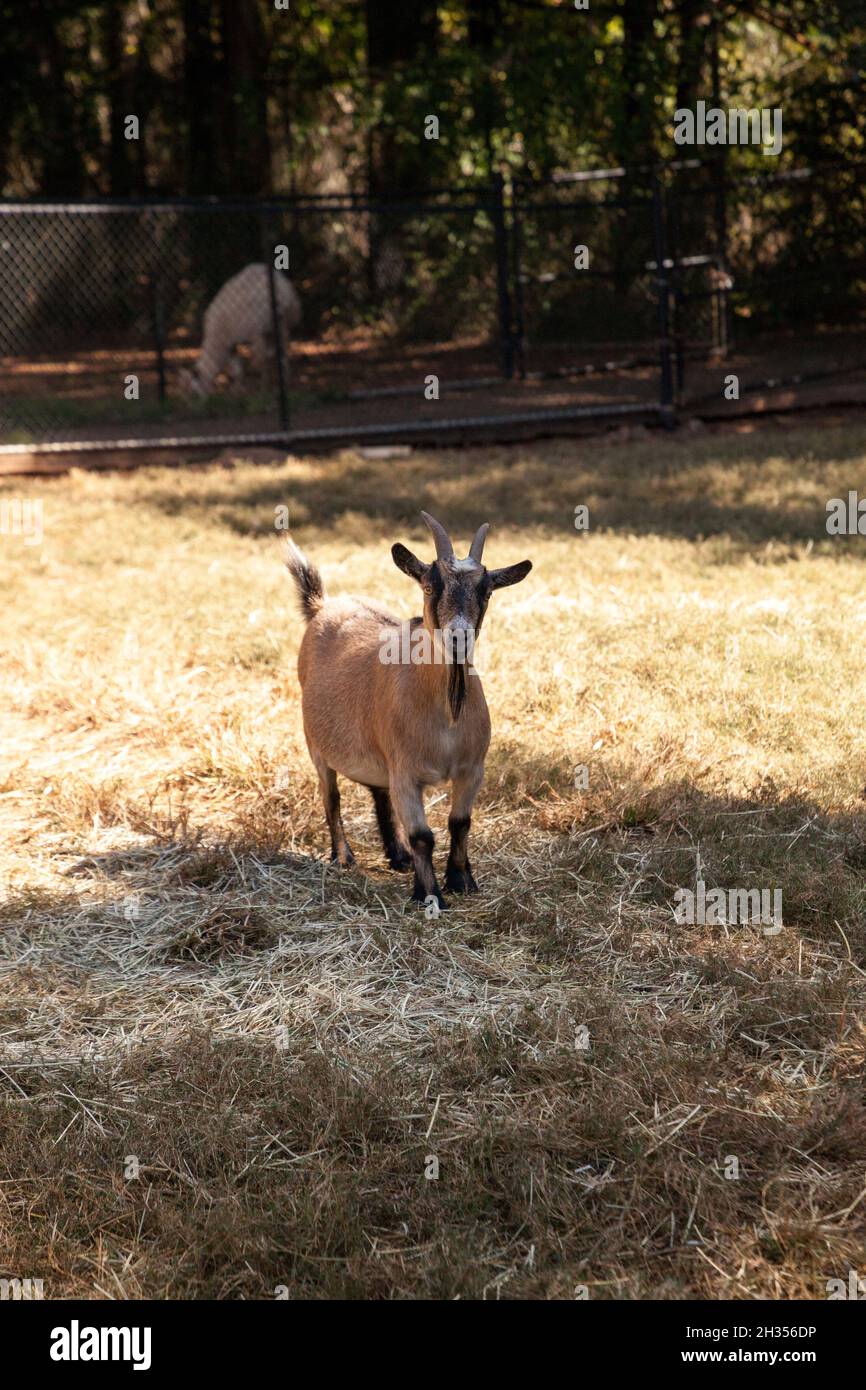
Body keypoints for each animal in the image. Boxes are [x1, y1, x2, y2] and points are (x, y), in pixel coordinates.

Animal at [179, 262, 300, 398]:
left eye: (193, 393)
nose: (193, 403)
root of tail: (282, 281)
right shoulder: (232, 345)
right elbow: (237, 371)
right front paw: (236, 393)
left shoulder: (252, 335)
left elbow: (258, 363)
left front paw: (260, 392)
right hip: (271, 329)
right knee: (274, 355)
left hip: (277, 323)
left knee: (280, 355)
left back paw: (281, 385)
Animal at [286, 512, 532, 908]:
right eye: (430, 587)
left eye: (487, 591)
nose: (458, 636)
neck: (447, 717)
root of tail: (322, 606)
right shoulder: (406, 772)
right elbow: (422, 835)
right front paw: (429, 895)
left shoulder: (472, 769)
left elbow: (460, 822)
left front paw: (461, 880)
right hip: (315, 743)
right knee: (331, 796)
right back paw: (343, 857)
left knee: (378, 791)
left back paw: (398, 856)